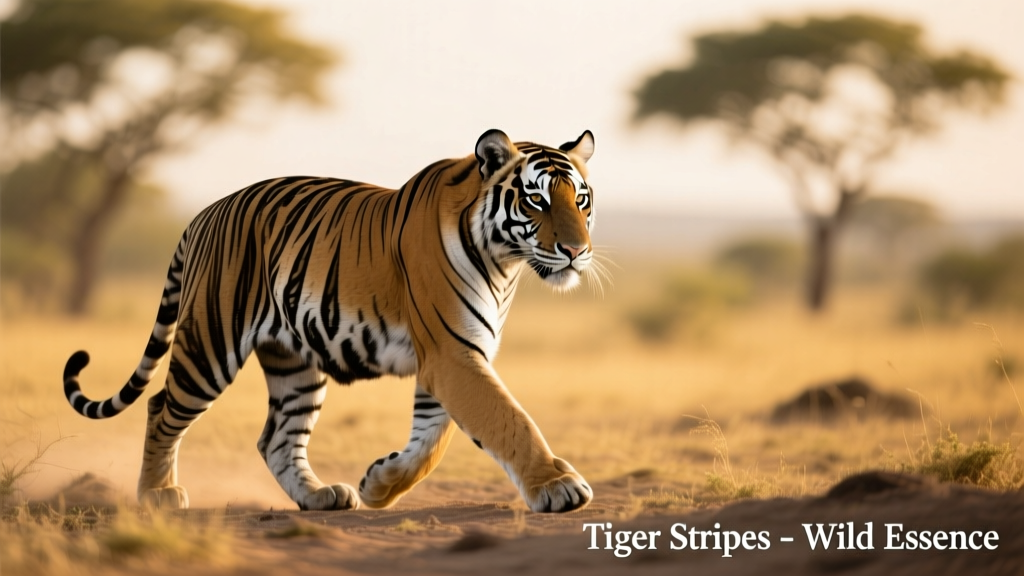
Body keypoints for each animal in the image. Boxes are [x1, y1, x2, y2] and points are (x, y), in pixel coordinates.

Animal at [62, 129, 598, 513]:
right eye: (536, 199)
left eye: (581, 200)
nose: (577, 251)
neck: (505, 264)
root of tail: (204, 212)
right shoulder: (451, 354)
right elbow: (508, 418)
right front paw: (558, 485)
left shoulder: (455, 355)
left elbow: (432, 441)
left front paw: (380, 484)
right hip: (210, 345)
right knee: (160, 408)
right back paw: (157, 494)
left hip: (293, 362)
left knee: (277, 438)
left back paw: (320, 496)